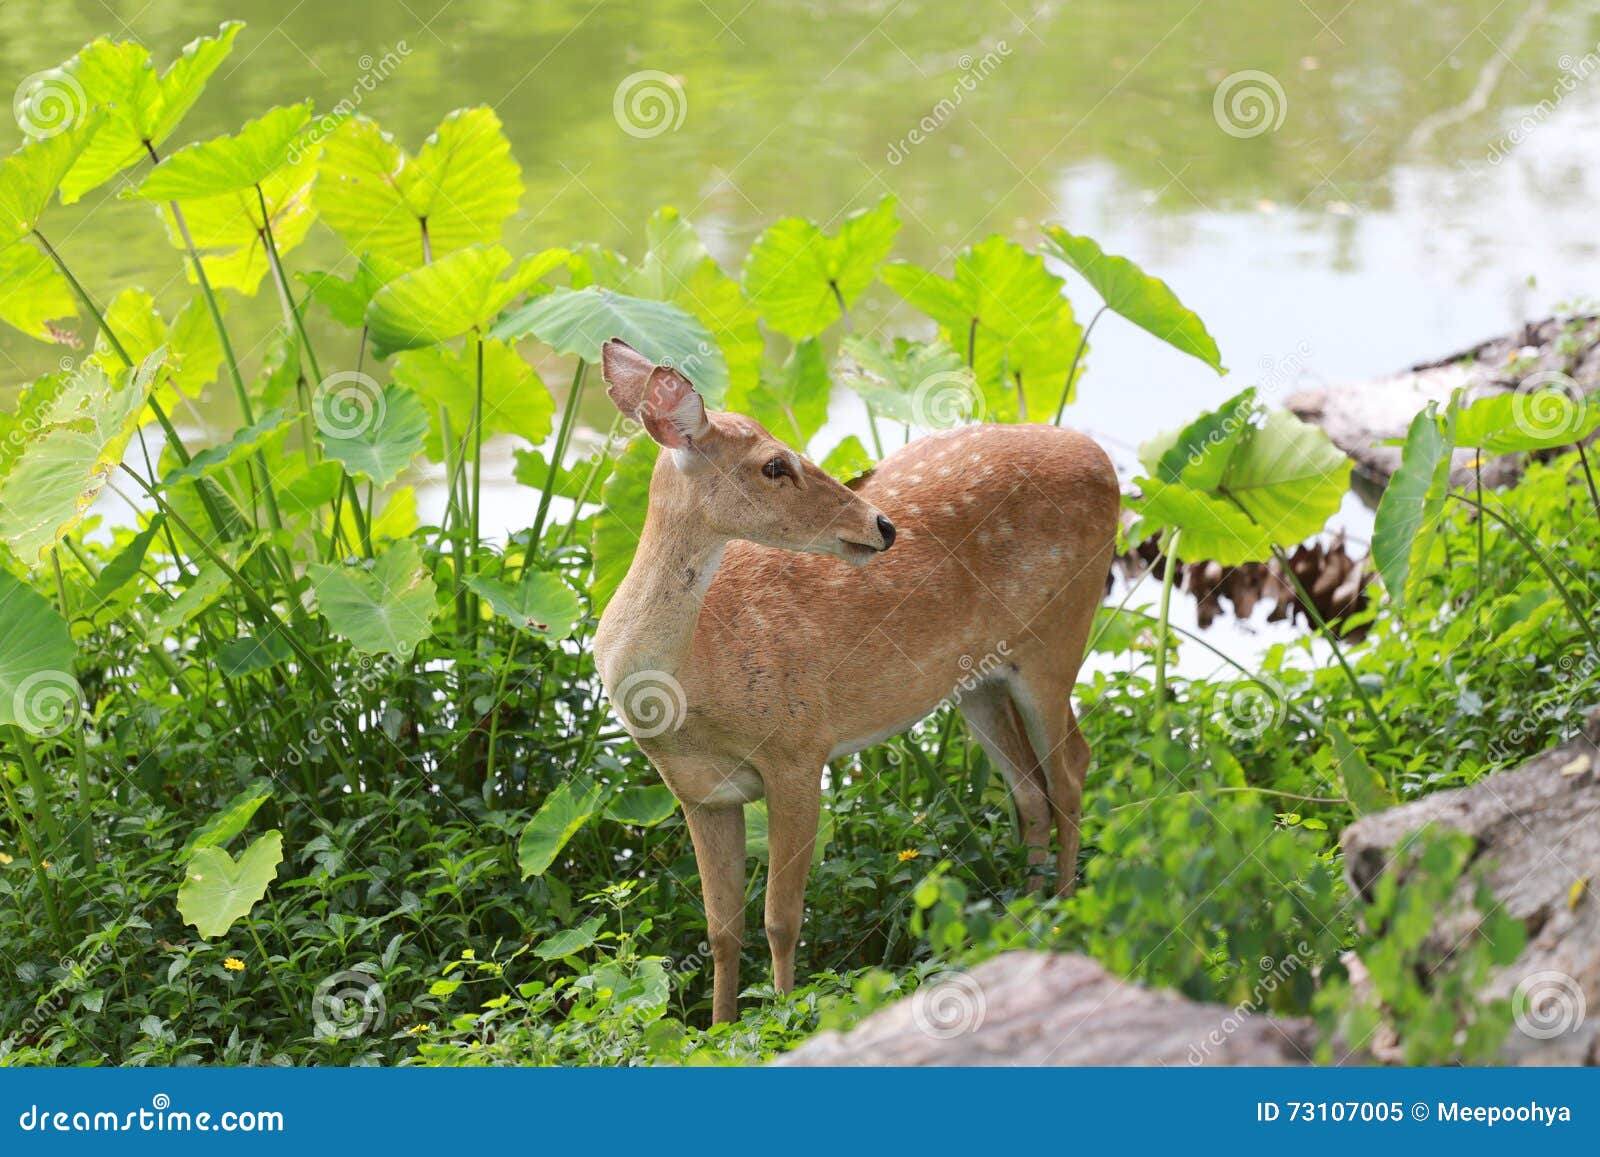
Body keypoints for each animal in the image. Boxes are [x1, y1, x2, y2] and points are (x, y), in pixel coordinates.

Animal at [592, 338, 1120, 1023]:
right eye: (773, 464)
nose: (883, 526)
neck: (688, 684)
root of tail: (1102, 458)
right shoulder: (699, 792)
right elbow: (721, 927)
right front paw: (719, 1027)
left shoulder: (798, 748)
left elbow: (781, 918)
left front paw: (785, 1018)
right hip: (977, 680)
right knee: (1029, 788)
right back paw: (1026, 919)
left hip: (1057, 636)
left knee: (1071, 768)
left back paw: (1063, 916)